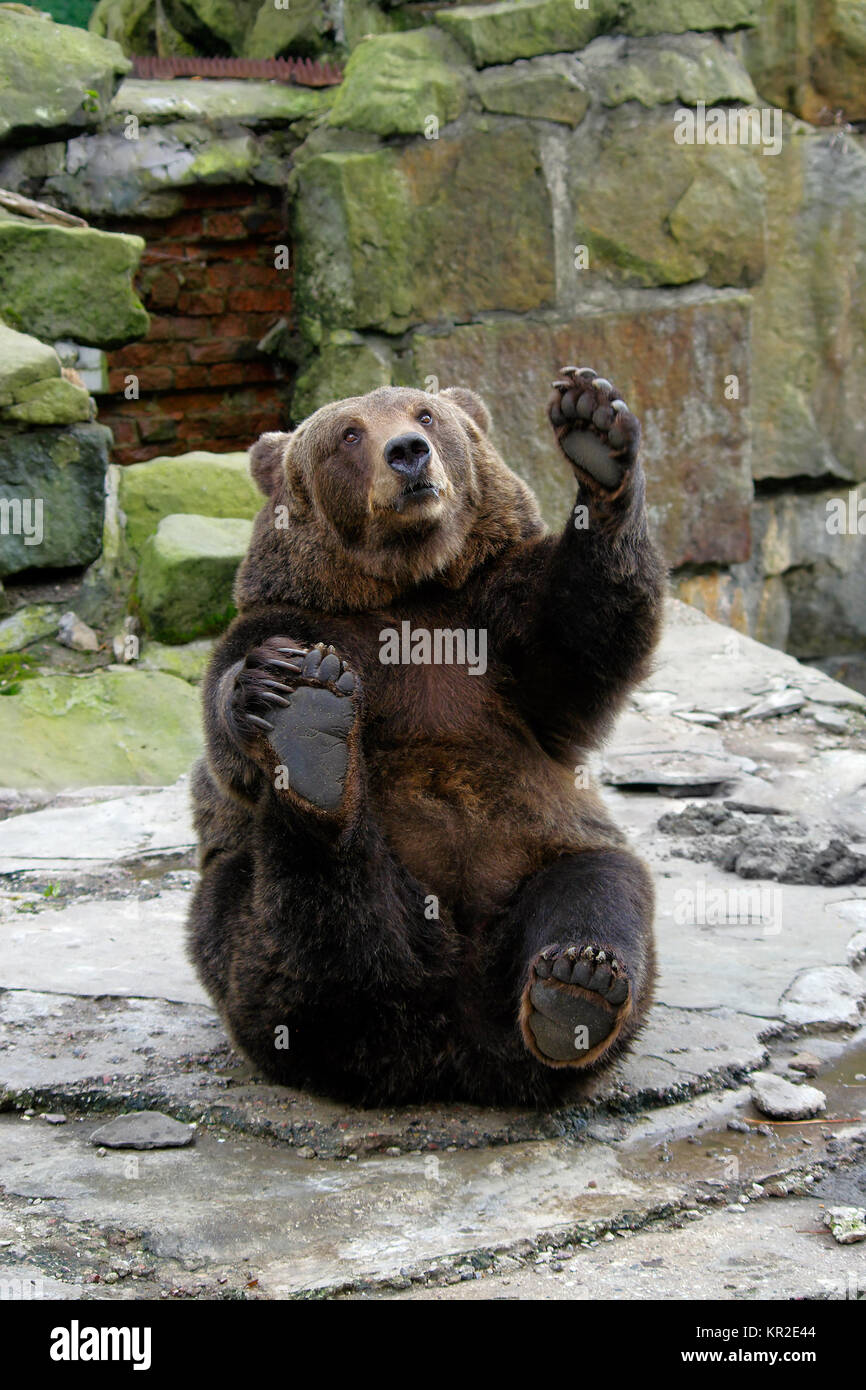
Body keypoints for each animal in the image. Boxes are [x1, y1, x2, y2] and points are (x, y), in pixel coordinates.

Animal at [187, 365, 665, 1107]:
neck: (409, 589)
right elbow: (231, 719)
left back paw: (576, 990)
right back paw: (314, 748)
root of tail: (449, 1047)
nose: (407, 453)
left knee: (599, 886)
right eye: (348, 434)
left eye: (426, 414)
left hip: (543, 851)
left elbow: (586, 637)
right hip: (258, 907)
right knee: (294, 922)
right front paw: (287, 690)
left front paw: (594, 426)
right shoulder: (305, 621)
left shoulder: (497, 628)